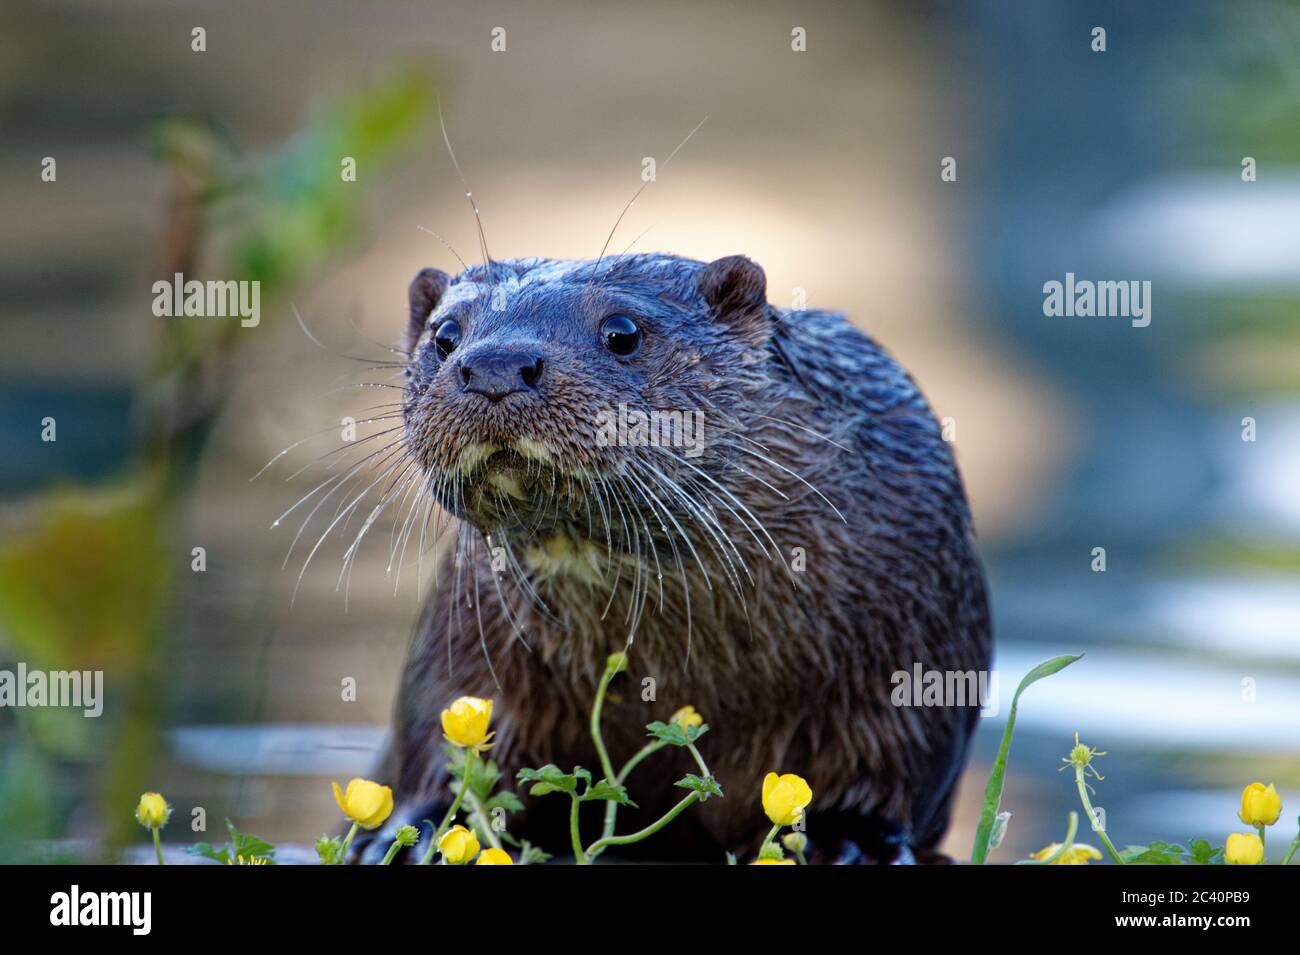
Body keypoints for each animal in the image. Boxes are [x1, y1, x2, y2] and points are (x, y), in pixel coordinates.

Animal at [361, 252, 991, 863]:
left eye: (622, 331)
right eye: (446, 334)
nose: (495, 365)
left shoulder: (912, 629)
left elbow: (890, 751)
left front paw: (851, 838)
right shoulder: (466, 629)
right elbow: (444, 730)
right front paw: (412, 834)